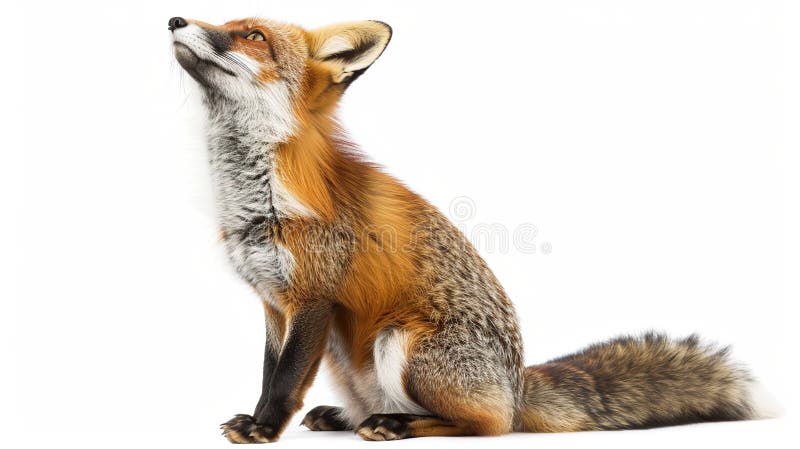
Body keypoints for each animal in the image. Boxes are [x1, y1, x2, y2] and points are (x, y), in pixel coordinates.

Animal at [170, 16, 770, 443]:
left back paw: (396, 426)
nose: (175, 19)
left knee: (484, 426)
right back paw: (352, 416)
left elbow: (286, 379)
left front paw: (264, 428)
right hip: (351, 358)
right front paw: (259, 418)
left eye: (252, 35)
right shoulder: (273, 302)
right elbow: (270, 371)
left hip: (401, 342)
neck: (255, 199)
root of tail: (517, 385)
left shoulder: (313, 297)